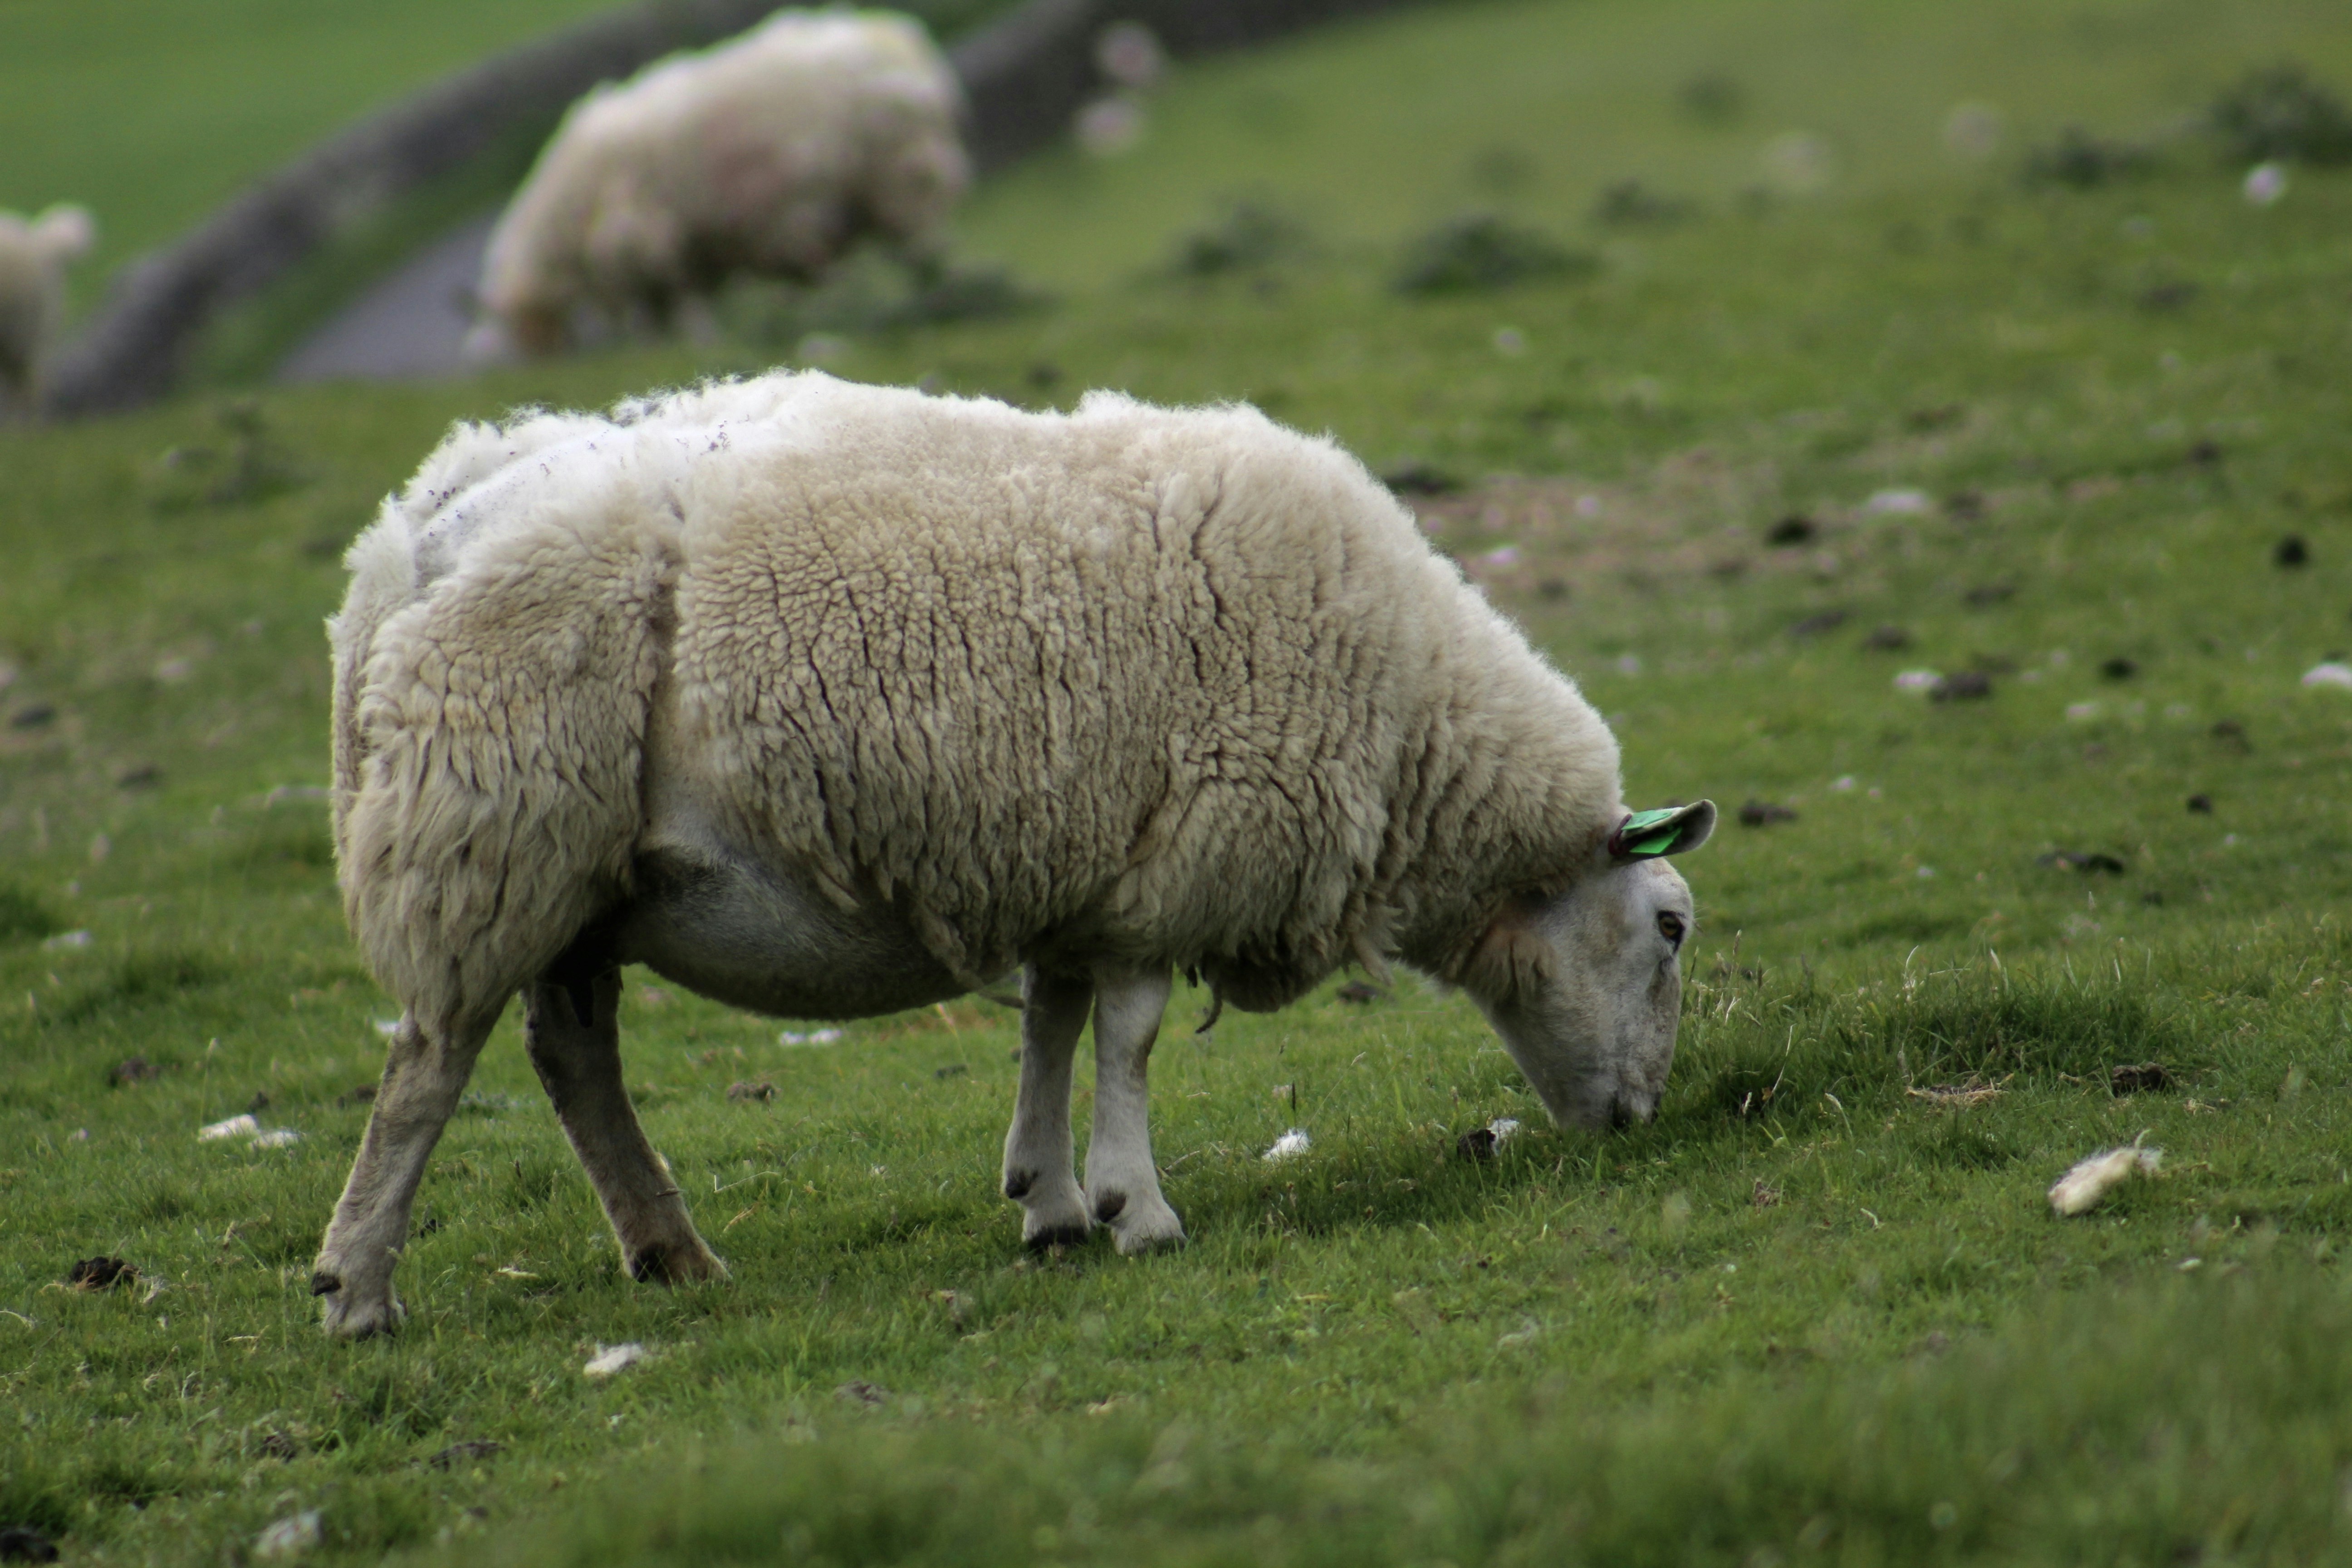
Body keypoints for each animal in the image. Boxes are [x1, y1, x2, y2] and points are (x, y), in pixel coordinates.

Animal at [314, 371, 1716, 1336]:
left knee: (572, 1055)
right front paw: (1136, 1210)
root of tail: (409, 535)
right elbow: (1130, 1037)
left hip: (581, 872)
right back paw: (359, 1287)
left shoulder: (1075, 861)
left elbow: (1053, 1016)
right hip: (487, 828)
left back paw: (671, 1253)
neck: (1417, 724)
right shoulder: (1177, 857)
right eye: (1670, 926)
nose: (1637, 1123)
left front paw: (1047, 1201)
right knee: (431, 1064)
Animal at [466, 11, 968, 361]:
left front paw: (686, 343)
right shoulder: (684, 246)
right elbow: (668, 306)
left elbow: (673, 304)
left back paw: (933, 293)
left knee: (924, 245)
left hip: (902, 176)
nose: (545, 363)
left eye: (519, 327)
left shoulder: (648, 239)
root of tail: (904, 40)